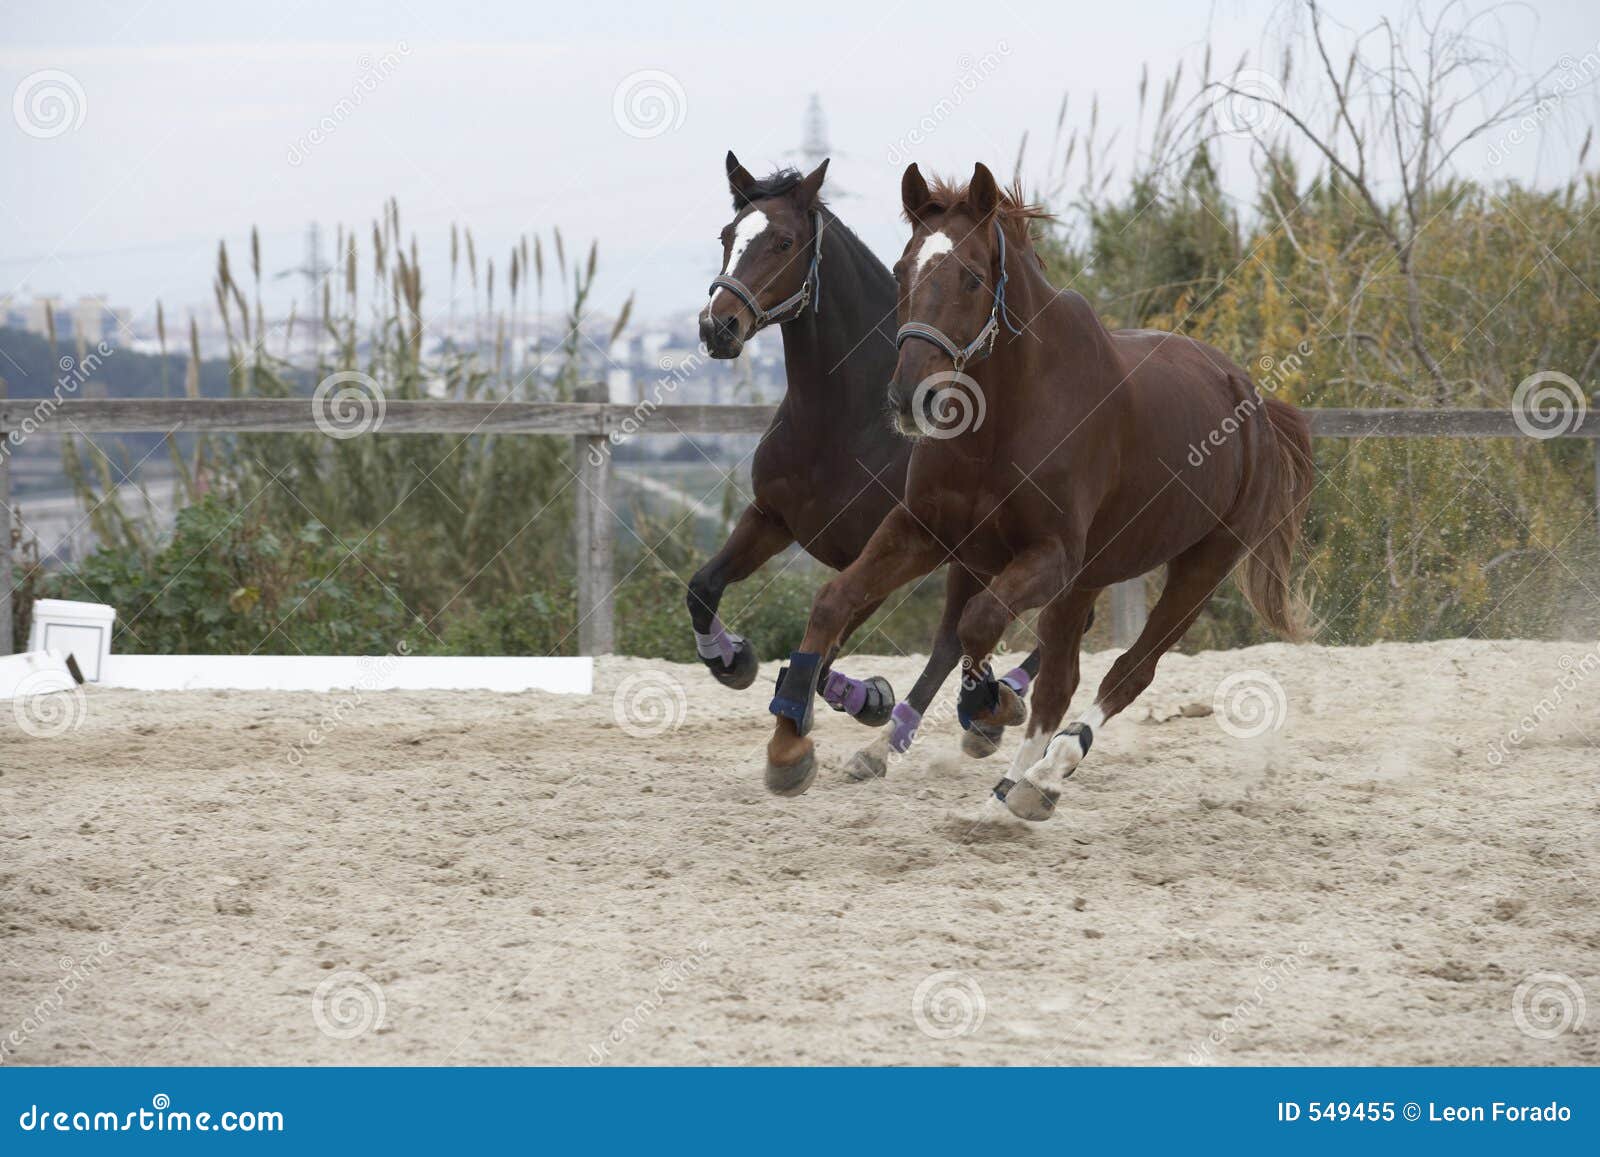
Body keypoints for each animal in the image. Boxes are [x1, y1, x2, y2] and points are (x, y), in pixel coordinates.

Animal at [693, 153, 1057, 785]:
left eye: (784, 242)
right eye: (727, 237)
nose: (719, 327)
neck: (842, 418)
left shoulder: (882, 548)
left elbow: (824, 651)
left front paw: (859, 701)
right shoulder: (772, 519)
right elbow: (704, 587)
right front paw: (733, 659)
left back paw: (984, 709)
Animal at [762, 161, 1313, 818]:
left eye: (972, 277)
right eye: (901, 270)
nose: (909, 397)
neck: (1004, 417)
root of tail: (1251, 400)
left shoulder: (1050, 555)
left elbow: (977, 625)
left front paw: (993, 705)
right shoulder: (923, 532)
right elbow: (836, 601)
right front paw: (788, 748)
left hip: (1202, 564)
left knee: (1128, 672)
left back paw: (1046, 774)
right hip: (1095, 572)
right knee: (1062, 681)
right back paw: (1013, 788)